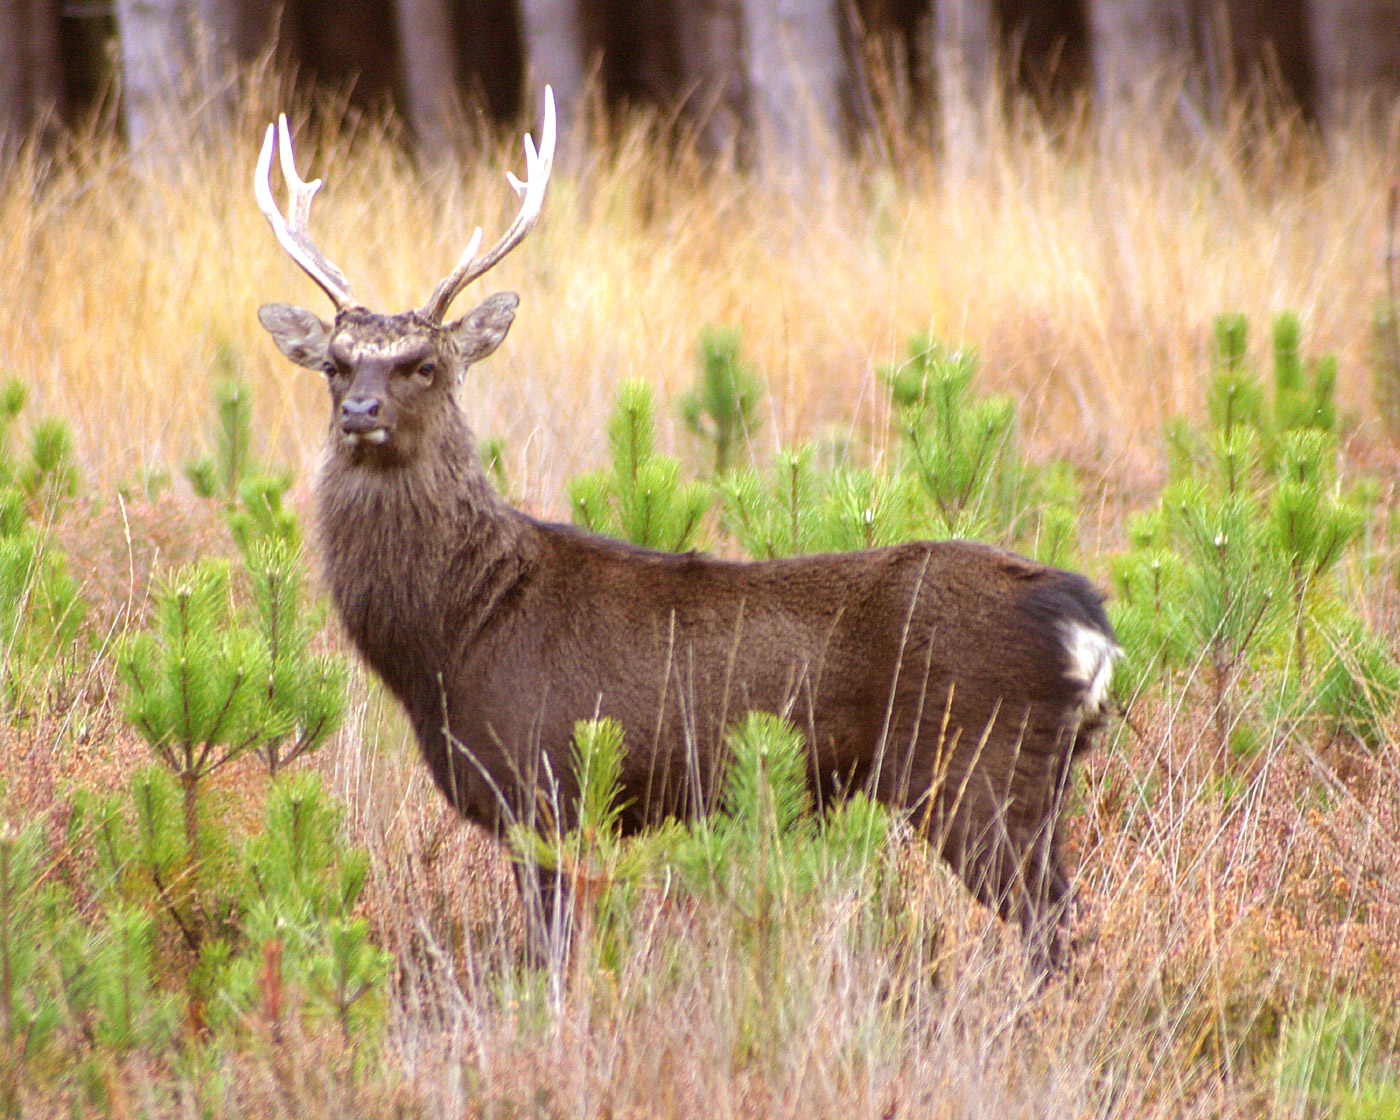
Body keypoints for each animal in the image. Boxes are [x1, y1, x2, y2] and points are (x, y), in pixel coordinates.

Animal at [254, 88, 1119, 973]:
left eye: (422, 364)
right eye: (335, 364)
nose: (361, 410)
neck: (456, 632)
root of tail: (1087, 622)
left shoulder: (548, 787)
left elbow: (551, 953)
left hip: (975, 764)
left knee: (1052, 922)